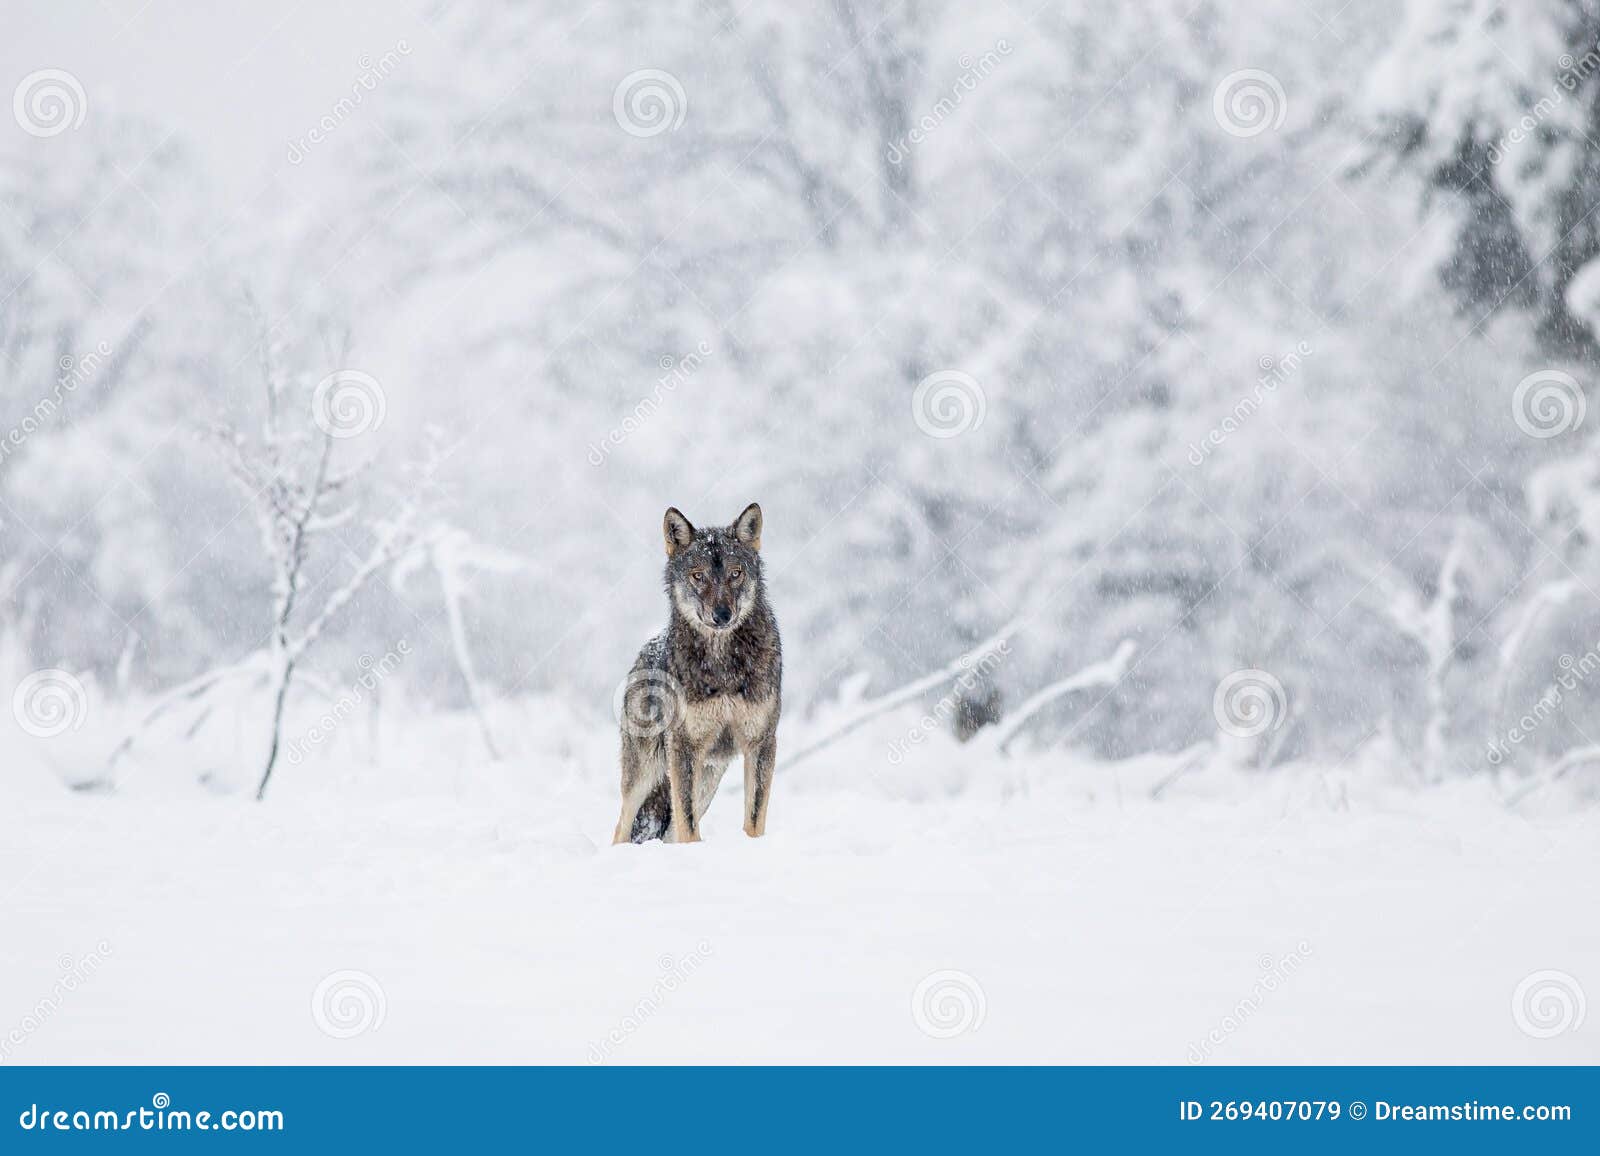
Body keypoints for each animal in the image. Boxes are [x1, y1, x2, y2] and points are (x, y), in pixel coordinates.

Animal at [612, 502, 781, 844]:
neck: (722, 665)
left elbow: (754, 819)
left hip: (707, 779)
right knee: (622, 826)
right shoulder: (683, 748)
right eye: (698, 576)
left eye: (735, 573)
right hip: (645, 775)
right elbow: (688, 826)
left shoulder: (761, 743)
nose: (722, 615)